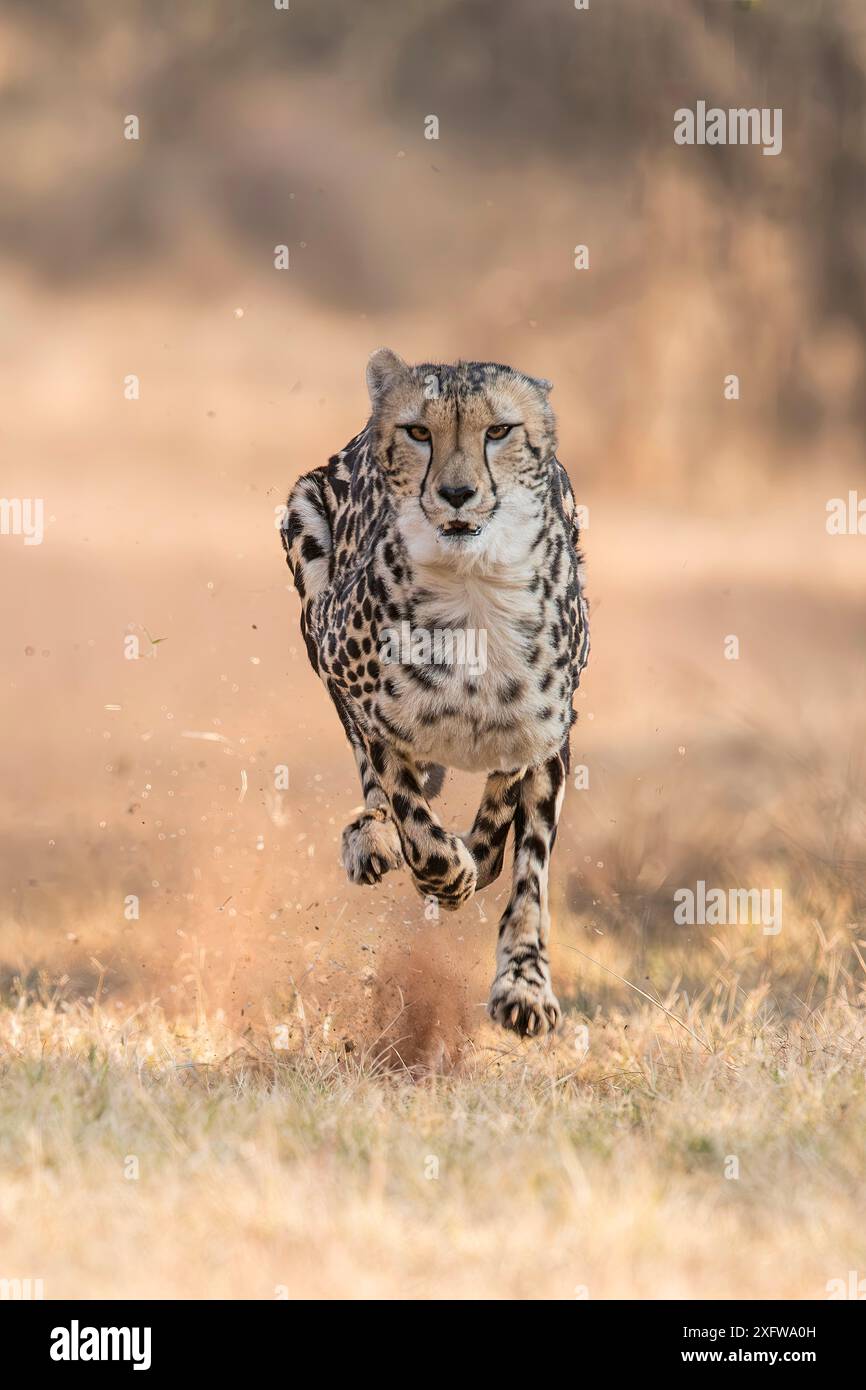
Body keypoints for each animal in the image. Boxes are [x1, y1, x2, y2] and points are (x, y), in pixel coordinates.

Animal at [281, 349, 589, 1036]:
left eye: (498, 431)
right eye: (419, 432)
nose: (456, 493)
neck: (472, 591)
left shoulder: (546, 739)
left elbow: (524, 863)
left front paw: (524, 987)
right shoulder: (366, 698)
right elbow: (411, 814)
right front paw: (444, 874)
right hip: (306, 552)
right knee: (371, 775)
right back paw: (371, 840)